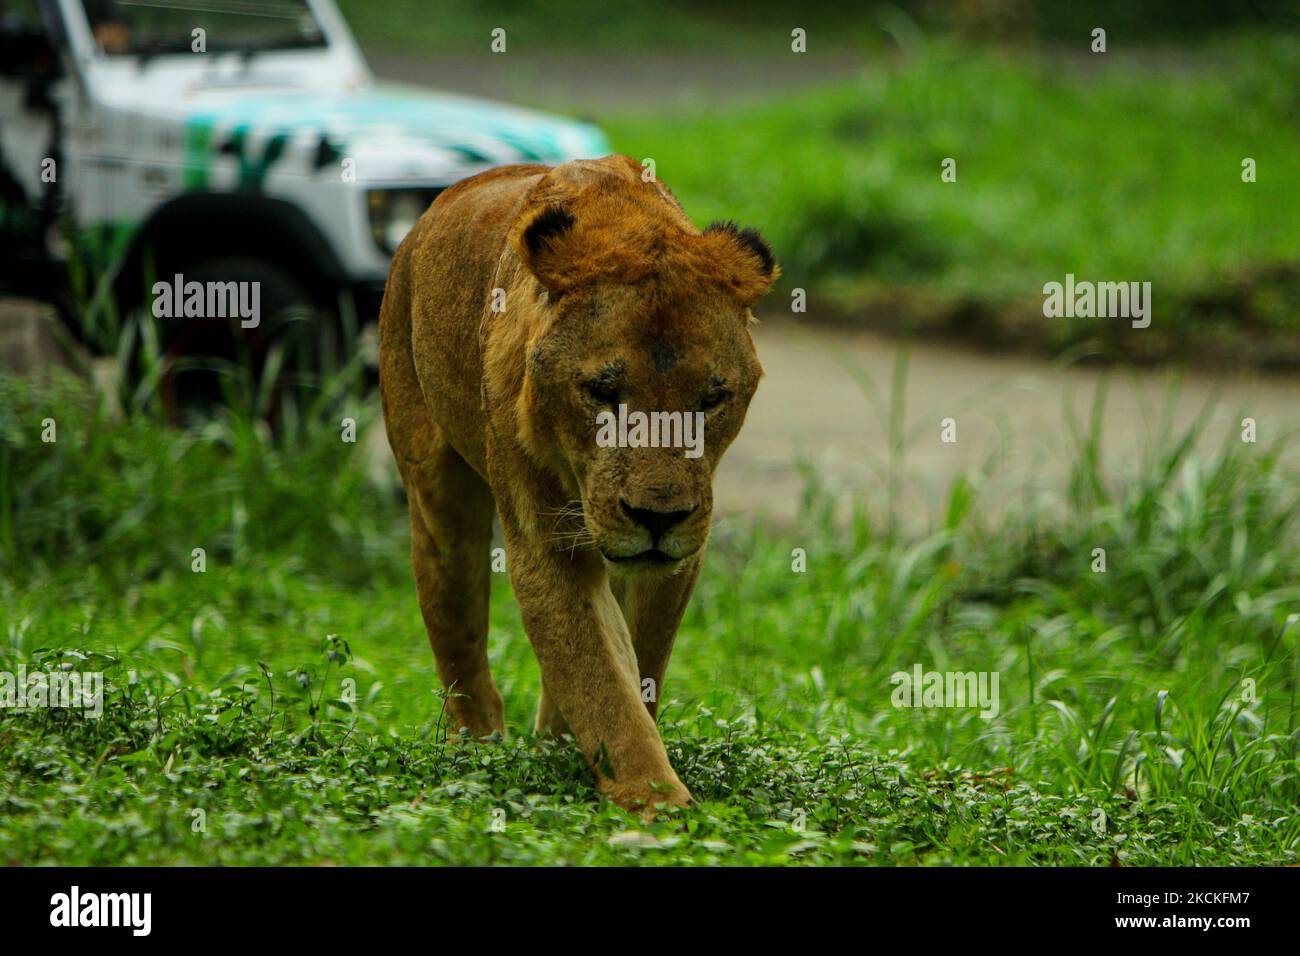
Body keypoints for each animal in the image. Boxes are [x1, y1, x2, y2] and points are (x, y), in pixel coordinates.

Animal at [378, 154, 778, 811]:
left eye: (711, 399)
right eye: (601, 392)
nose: (658, 517)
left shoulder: (674, 558)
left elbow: (633, 665)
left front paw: (581, 758)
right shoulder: (547, 544)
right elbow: (600, 677)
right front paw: (655, 802)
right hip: (437, 495)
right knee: (458, 633)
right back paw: (477, 751)